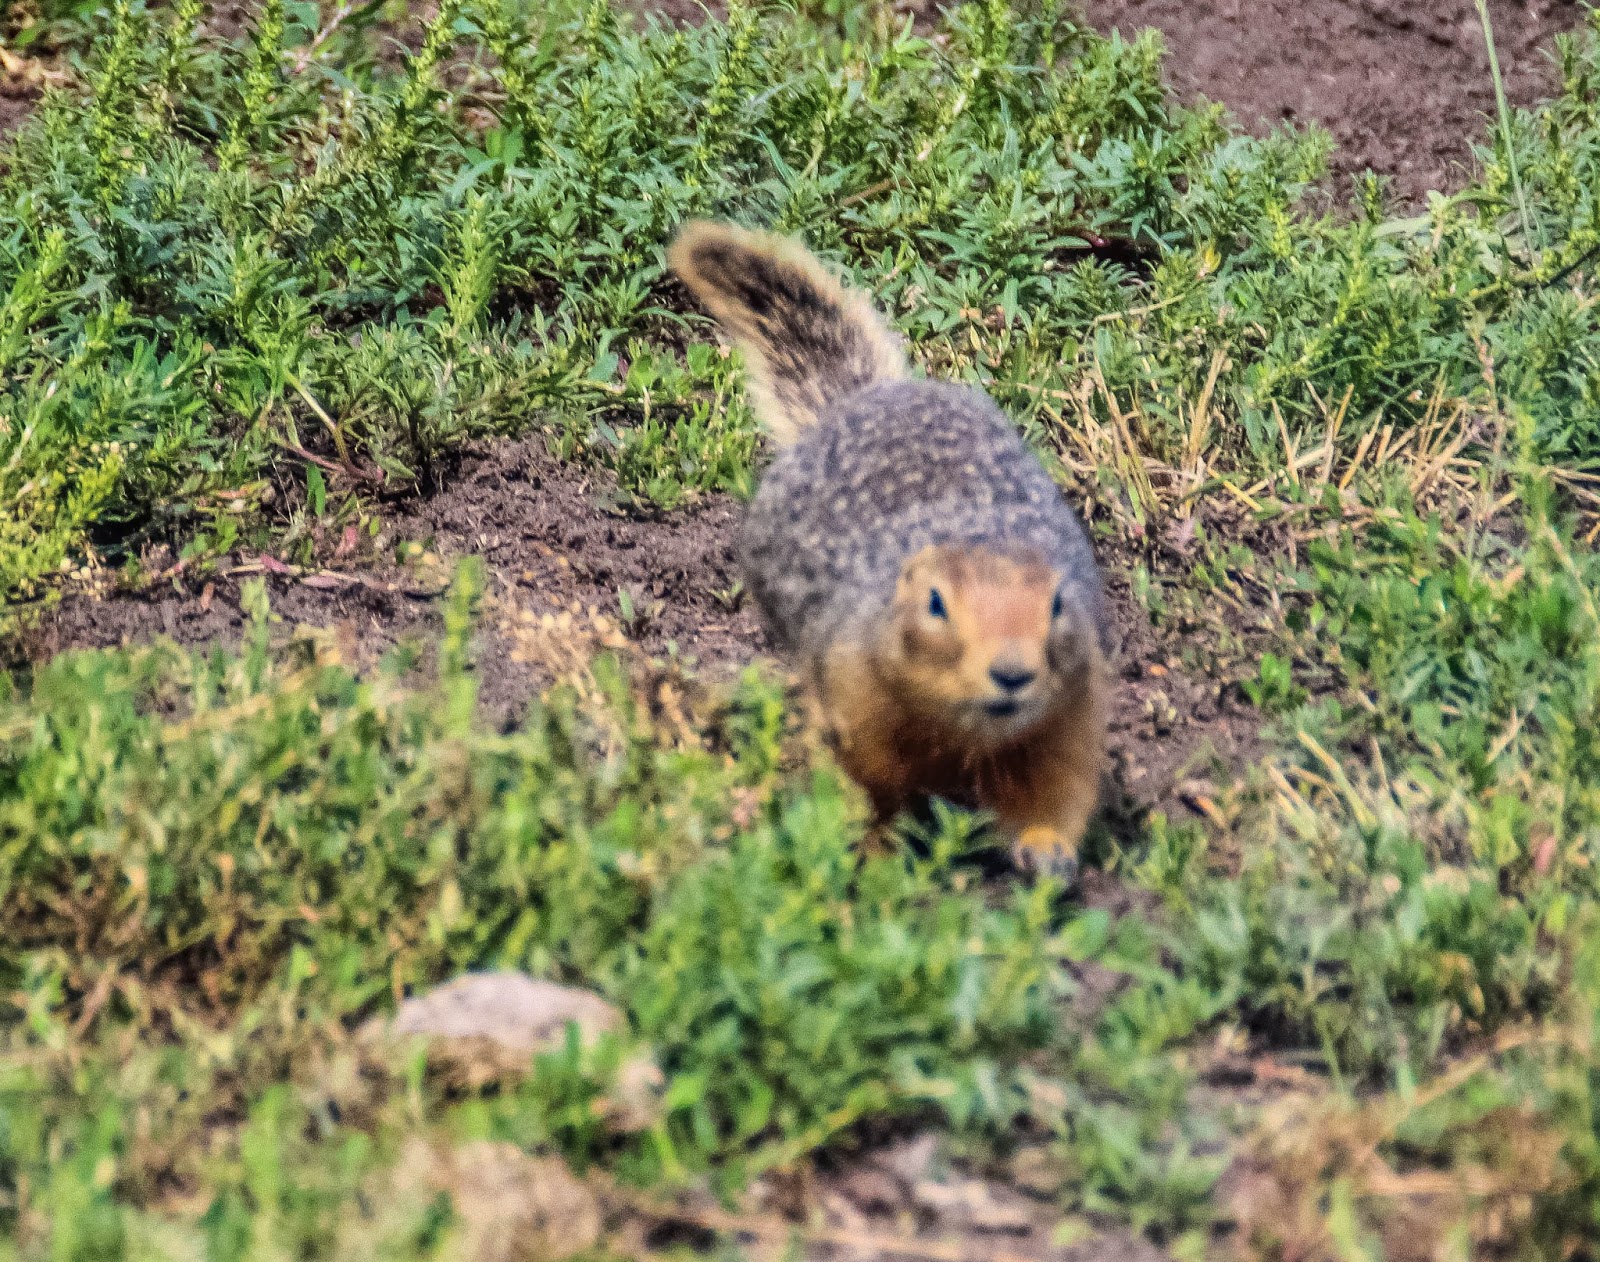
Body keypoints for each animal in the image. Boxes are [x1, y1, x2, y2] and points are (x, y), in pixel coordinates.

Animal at [669, 220, 1111, 879]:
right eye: (935, 604)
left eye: (1057, 605)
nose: (1012, 672)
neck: (959, 731)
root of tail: (863, 399)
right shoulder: (854, 703)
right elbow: (866, 791)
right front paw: (874, 856)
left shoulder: (1070, 713)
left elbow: (1058, 789)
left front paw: (1047, 851)